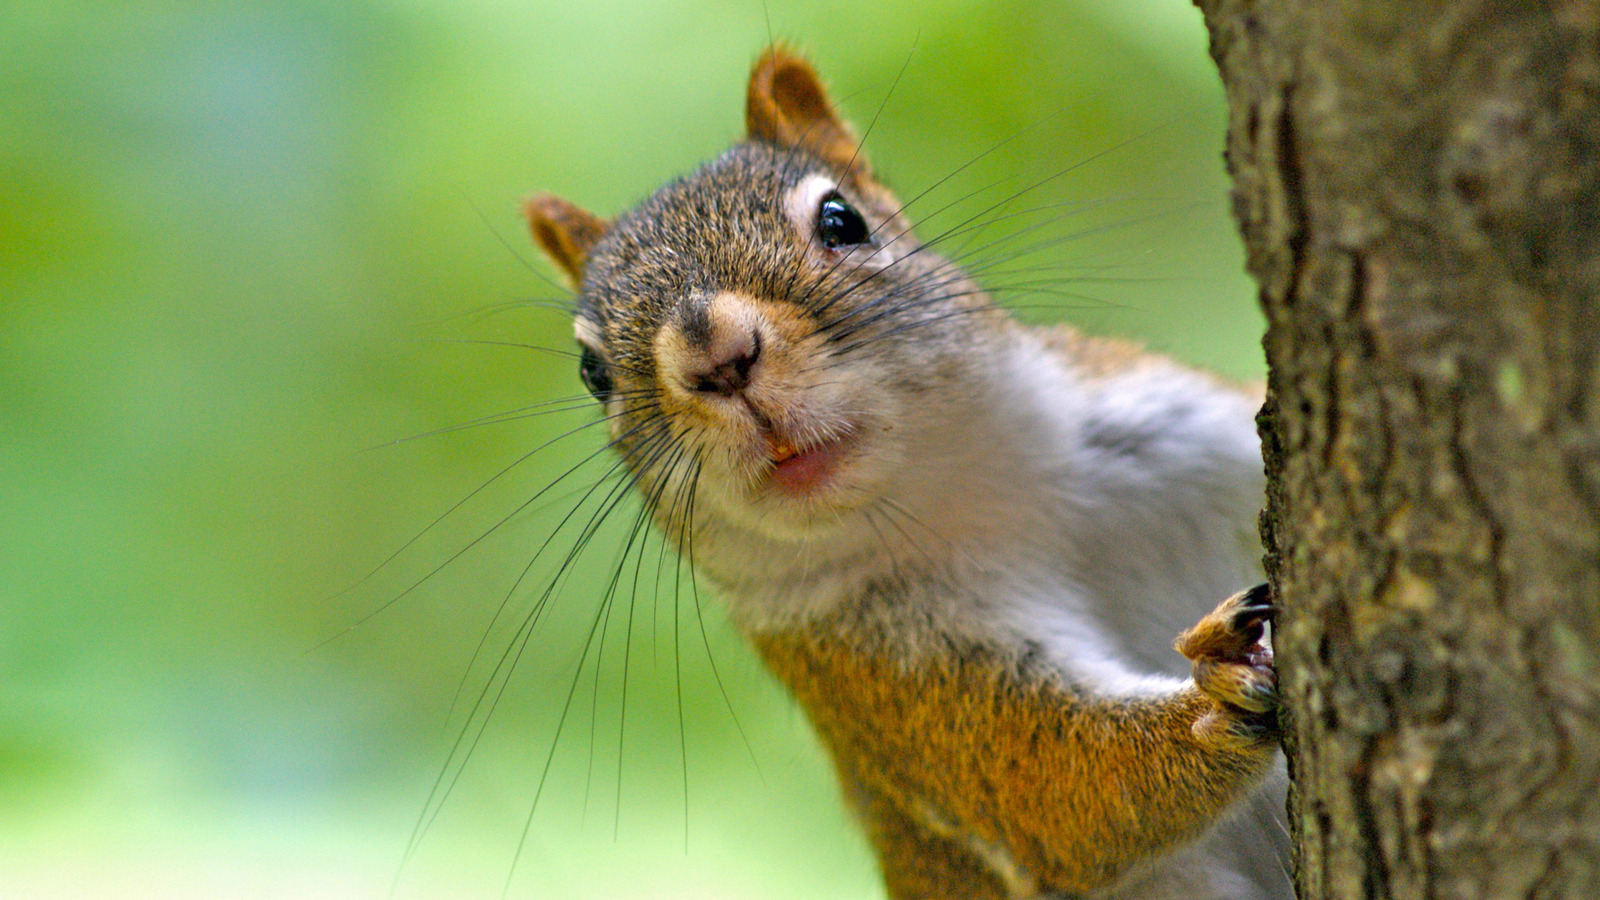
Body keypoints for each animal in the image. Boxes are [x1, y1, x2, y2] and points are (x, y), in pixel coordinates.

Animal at [521, 46, 1290, 900]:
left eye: (840, 220)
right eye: (592, 371)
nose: (716, 360)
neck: (967, 494)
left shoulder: (1184, 425)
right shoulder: (881, 673)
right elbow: (1054, 781)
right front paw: (1216, 694)